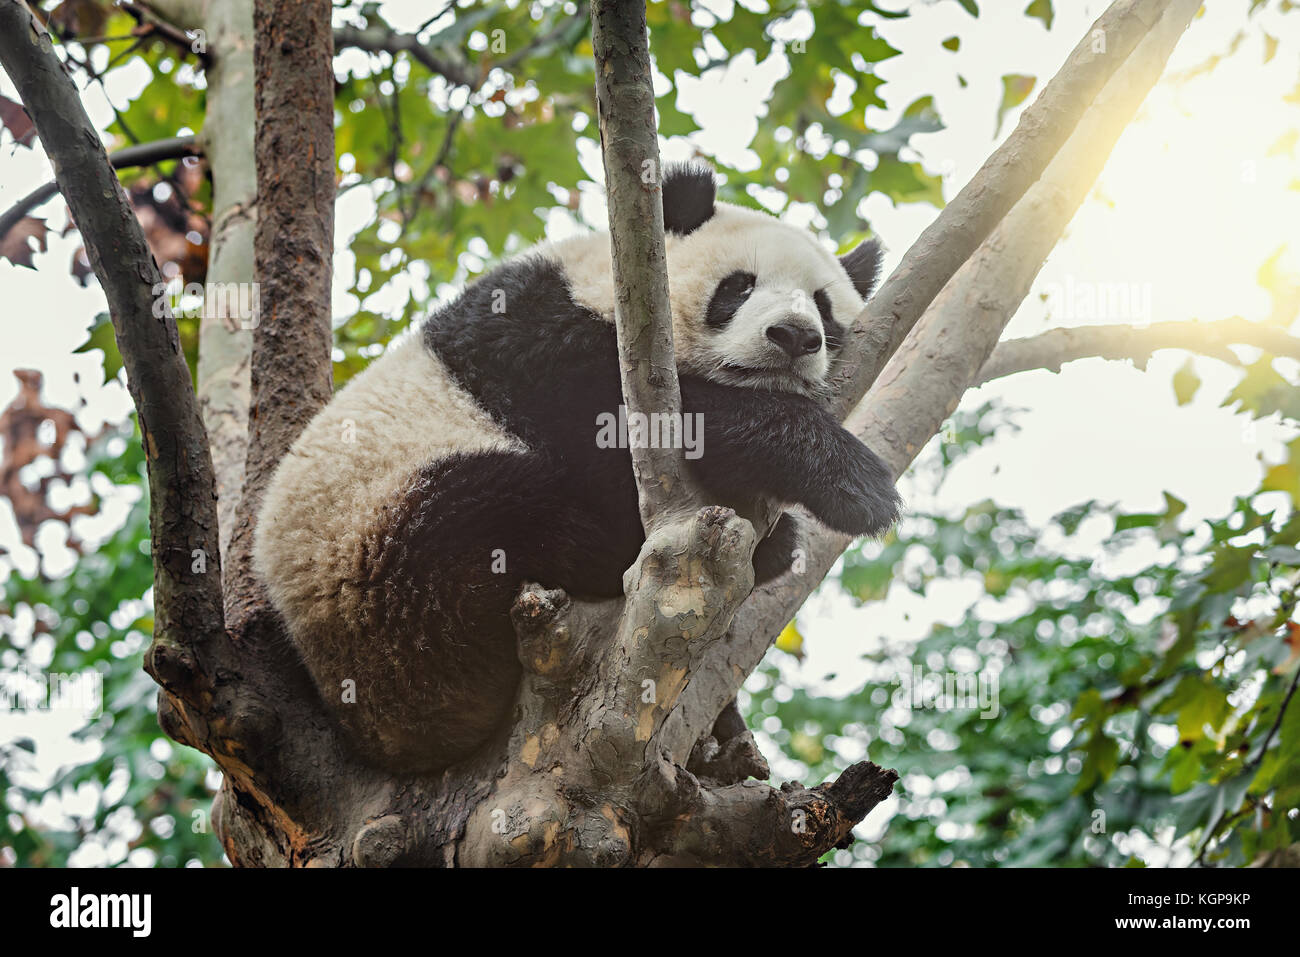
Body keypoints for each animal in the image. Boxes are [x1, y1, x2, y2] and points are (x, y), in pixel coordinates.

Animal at [253, 163, 901, 773]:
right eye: (739, 288)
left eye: (825, 309)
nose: (794, 335)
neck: (603, 284)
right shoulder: (527, 335)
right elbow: (602, 412)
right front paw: (850, 482)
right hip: (375, 557)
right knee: (489, 517)